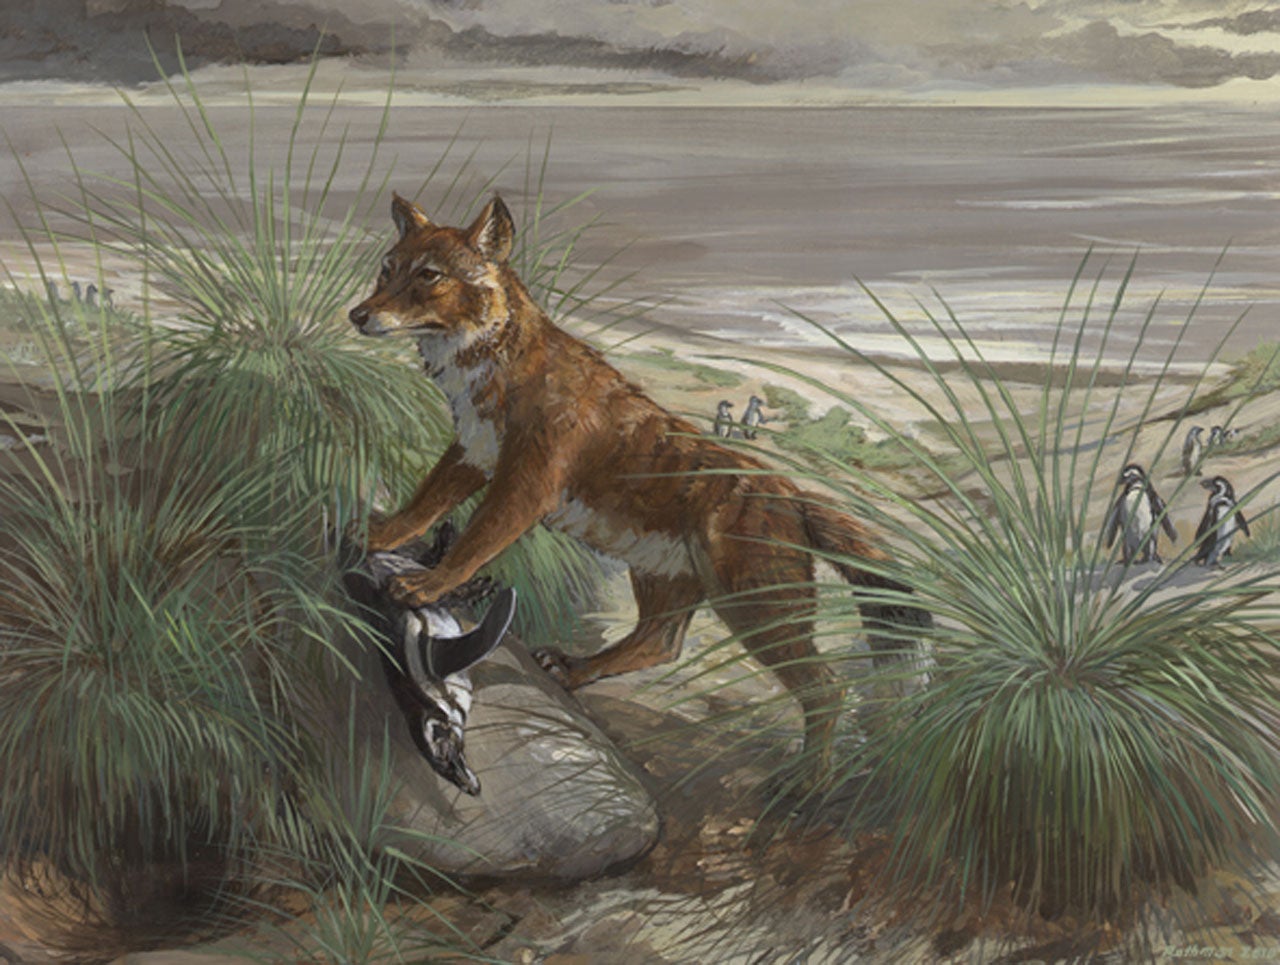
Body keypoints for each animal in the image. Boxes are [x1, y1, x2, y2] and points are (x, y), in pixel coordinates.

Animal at [348, 193, 930, 777]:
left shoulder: (525, 486)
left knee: (824, 687)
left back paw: (806, 781)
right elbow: (420, 510)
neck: (494, 370)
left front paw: (428, 584)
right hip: (664, 581)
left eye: (428, 275)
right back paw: (574, 670)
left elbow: (471, 544)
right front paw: (376, 537)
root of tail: (795, 494)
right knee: (659, 645)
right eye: (388, 269)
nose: (357, 315)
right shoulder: (473, 454)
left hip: (754, 606)